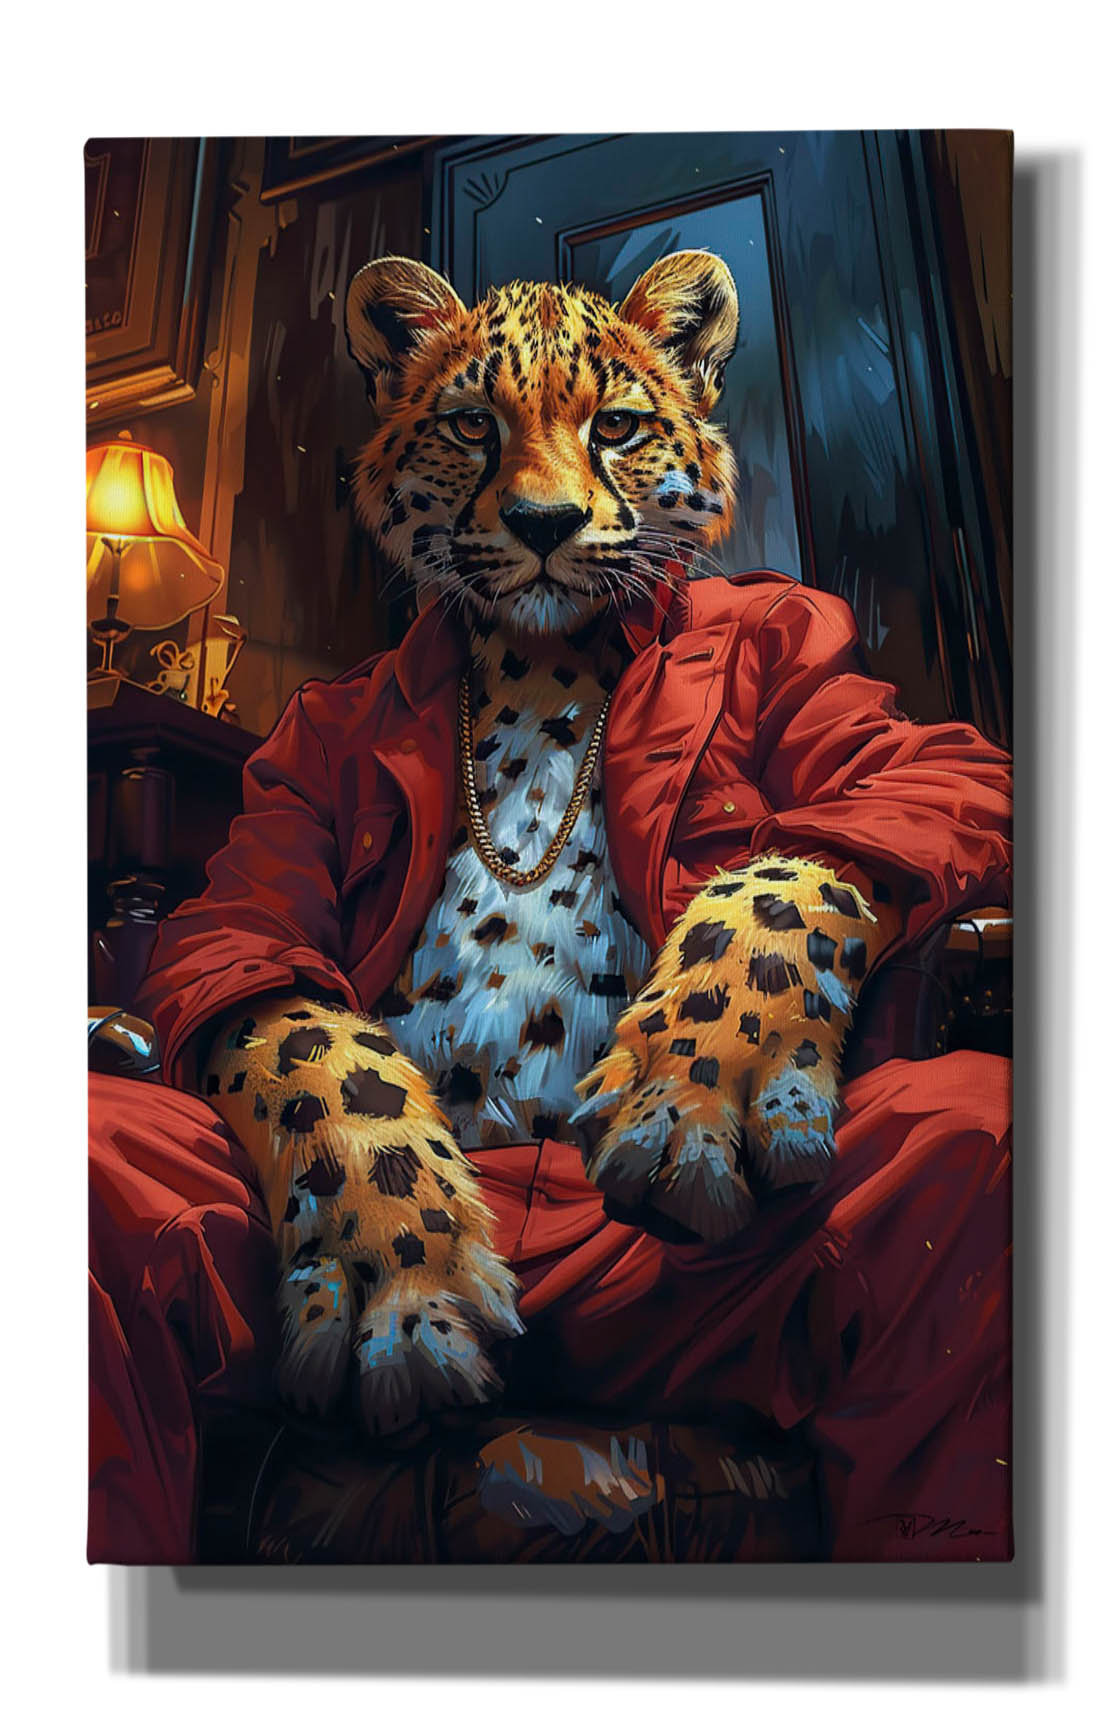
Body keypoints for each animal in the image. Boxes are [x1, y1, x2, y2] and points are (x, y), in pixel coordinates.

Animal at [201, 251, 898, 1434]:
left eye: (615, 425)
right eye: (471, 424)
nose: (542, 522)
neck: (539, 663)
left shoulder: (907, 755)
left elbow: (783, 881)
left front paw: (687, 1098)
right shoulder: (249, 890)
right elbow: (304, 1043)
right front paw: (401, 1280)